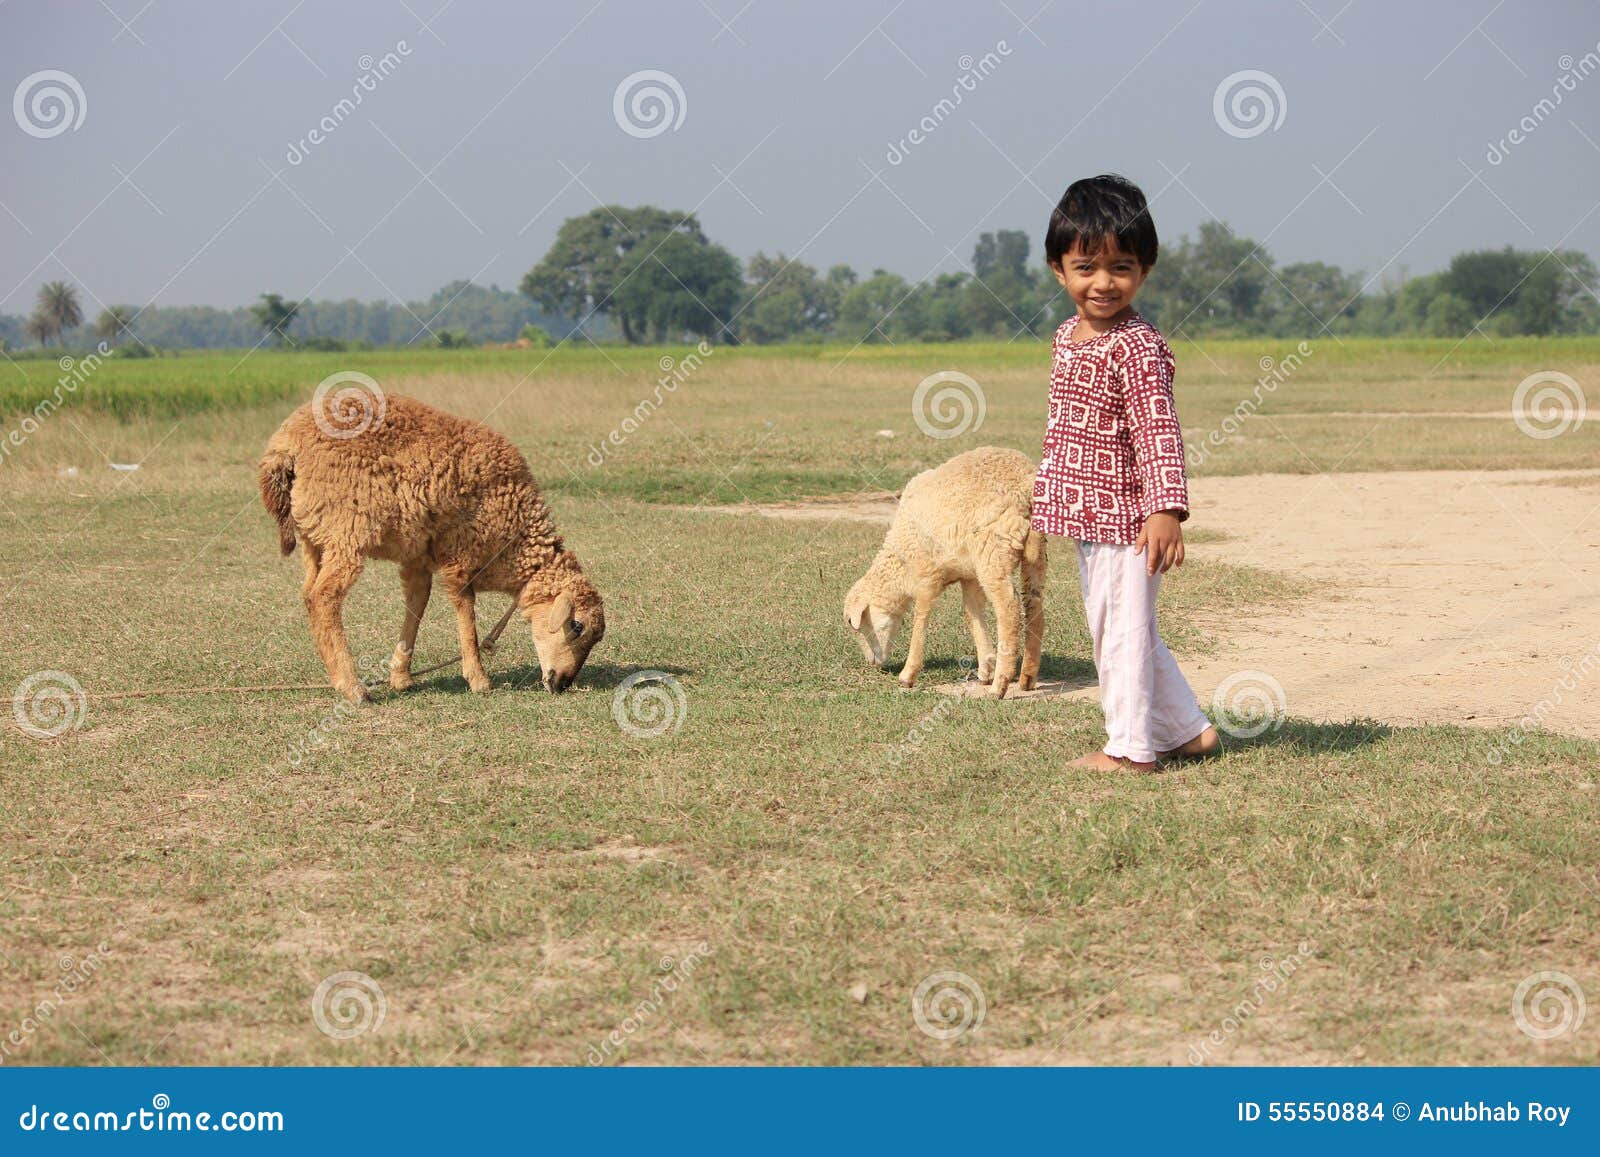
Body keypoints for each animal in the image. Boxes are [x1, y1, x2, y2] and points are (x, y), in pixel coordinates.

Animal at [258, 391, 605, 704]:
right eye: (576, 626)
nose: (561, 683)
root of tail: (285, 445)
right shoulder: (461, 552)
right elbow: (467, 614)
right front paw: (478, 679)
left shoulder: (419, 558)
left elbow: (416, 605)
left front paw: (401, 676)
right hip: (347, 531)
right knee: (323, 597)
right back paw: (353, 688)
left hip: (315, 536)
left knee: (308, 593)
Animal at [844, 446, 1045, 698]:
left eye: (855, 624)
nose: (872, 664)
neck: (901, 560)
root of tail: (1024, 484)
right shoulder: (969, 575)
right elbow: (971, 614)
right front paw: (986, 668)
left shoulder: (927, 574)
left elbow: (920, 617)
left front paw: (908, 674)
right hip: (1034, 551)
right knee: (1034, 605)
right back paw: (1027, 678)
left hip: (993, 550)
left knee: (1008, 608)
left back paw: (1000, 685)